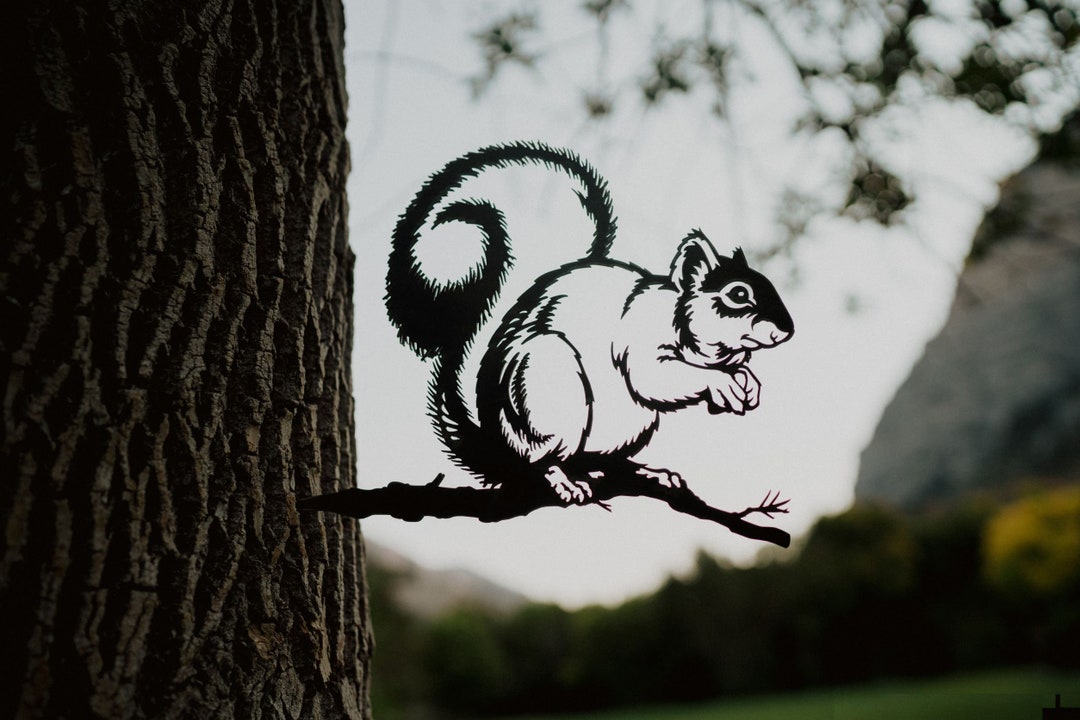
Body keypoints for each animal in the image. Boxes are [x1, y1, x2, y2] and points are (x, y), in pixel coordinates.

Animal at [385, 141, 793, 504]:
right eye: (738, 294)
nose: (787, 331)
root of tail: (499, 449)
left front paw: (748, 384)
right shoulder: (639, 338)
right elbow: (654, 376)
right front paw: (721, 383)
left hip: (633, 427)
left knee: (604, 460)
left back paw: (646, 472)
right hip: (548, 397)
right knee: (542, 460)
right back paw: (563, 480)